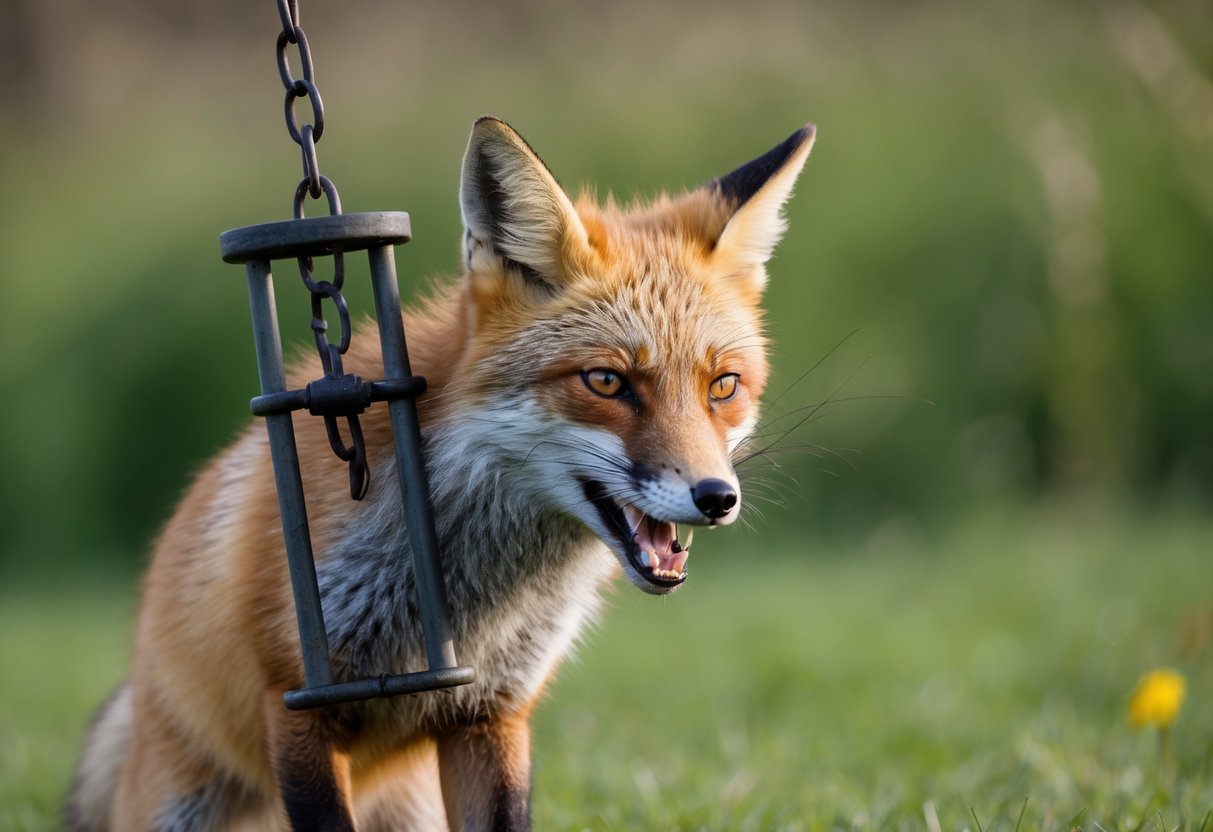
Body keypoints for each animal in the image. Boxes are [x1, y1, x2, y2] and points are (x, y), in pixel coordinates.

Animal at [66, 116, 815, 831]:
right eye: (606, 381)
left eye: (723, 387)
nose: (716, 498)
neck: (470, 595)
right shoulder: (296, 704)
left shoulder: (492, 713)